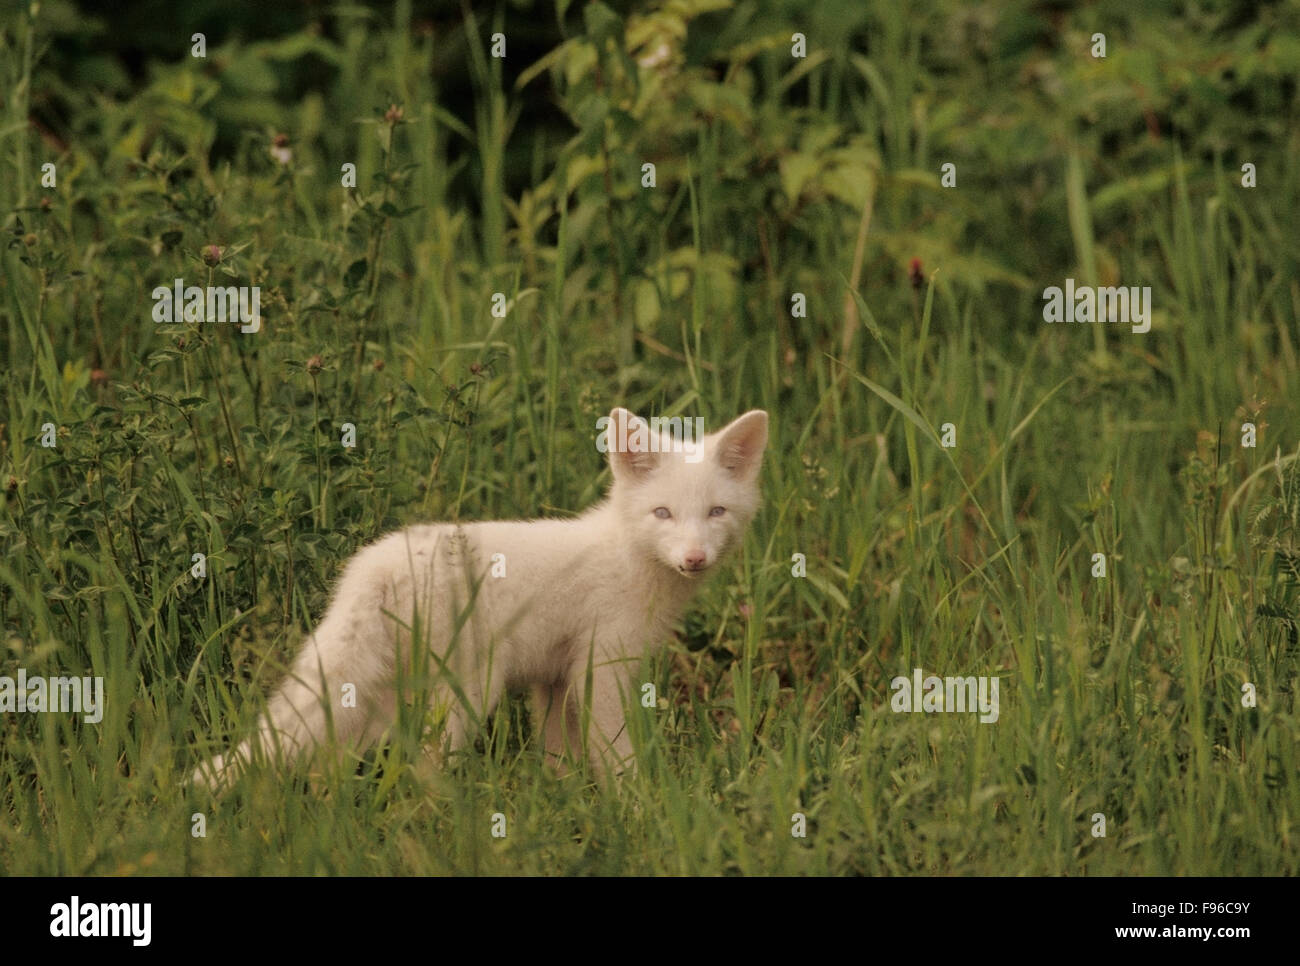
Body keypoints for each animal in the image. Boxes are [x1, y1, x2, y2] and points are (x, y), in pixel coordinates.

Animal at [192, 406, 768, 791]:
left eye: (716, 513)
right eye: (663, 513)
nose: (694, 558)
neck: (626, 554)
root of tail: (375, 566)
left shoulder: (554, 681)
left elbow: (558, 759)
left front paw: (565, 806)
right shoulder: (600, 671)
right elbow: (616, 756)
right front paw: (639, 809)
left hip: (386, 700)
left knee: (338, 759)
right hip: (469, 691)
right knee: (422, 767)